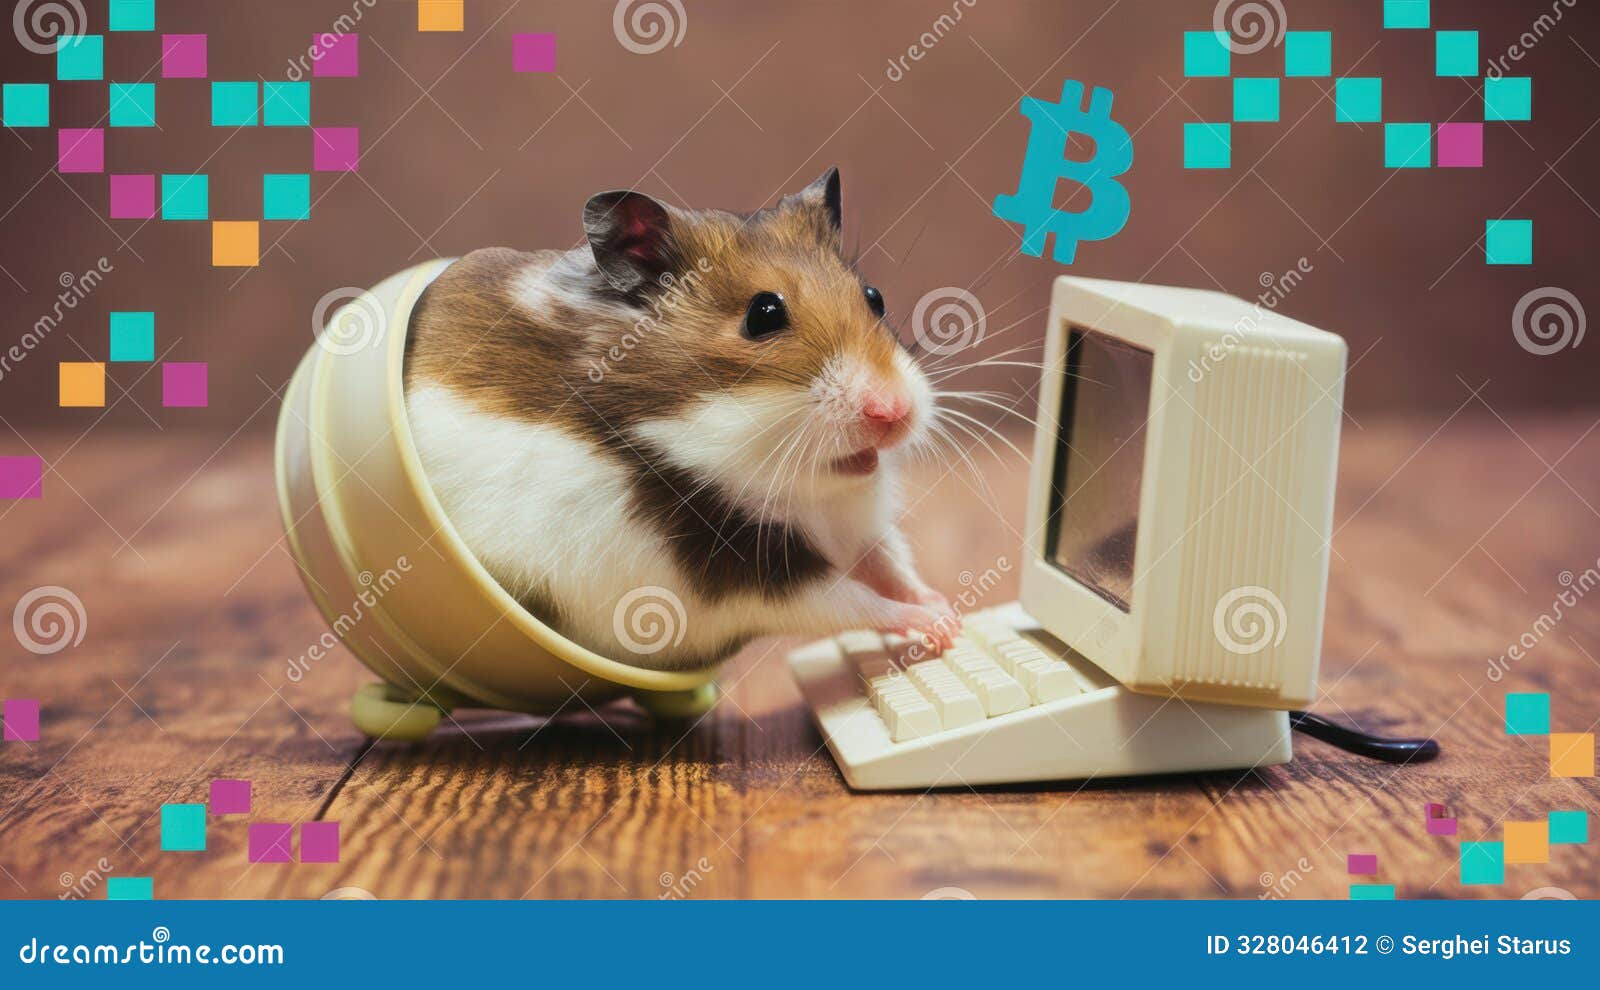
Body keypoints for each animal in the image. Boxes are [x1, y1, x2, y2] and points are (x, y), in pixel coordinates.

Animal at [403, 168, 958, 670]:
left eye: (874, 297)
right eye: (763, 315)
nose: (893, 412)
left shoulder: (859, 527)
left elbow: (892, 563)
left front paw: (946, 609)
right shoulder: (752, 581)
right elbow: (852, 601)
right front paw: (941, 626)